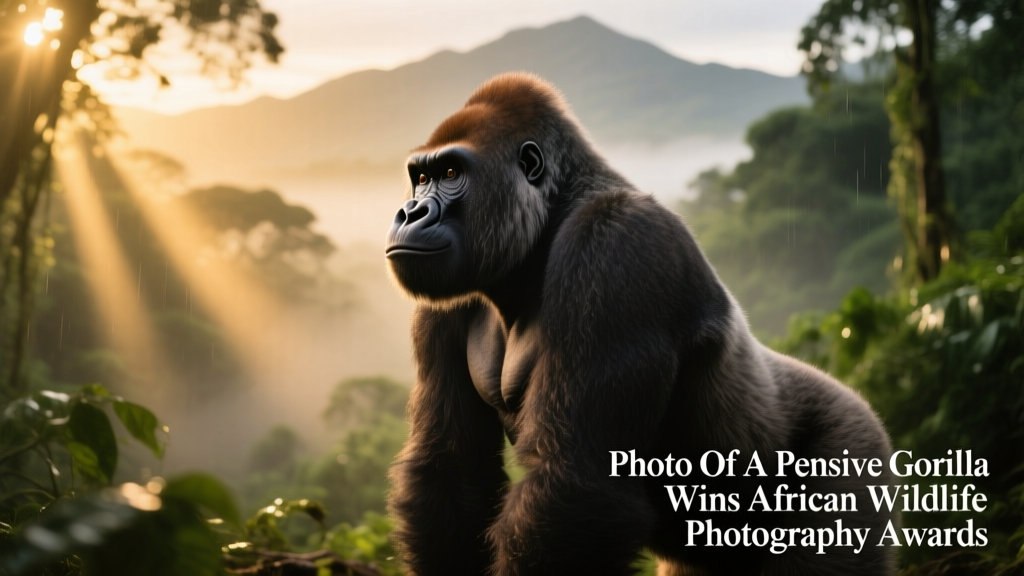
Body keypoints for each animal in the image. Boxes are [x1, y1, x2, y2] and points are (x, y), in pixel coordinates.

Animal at [384, 72, 896, 576]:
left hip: (852, 451)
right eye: (421, 178)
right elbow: (452, 472)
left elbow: (575, 487)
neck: (550, 219)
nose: (409, 212)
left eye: (452, 174)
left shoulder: (617, 245)